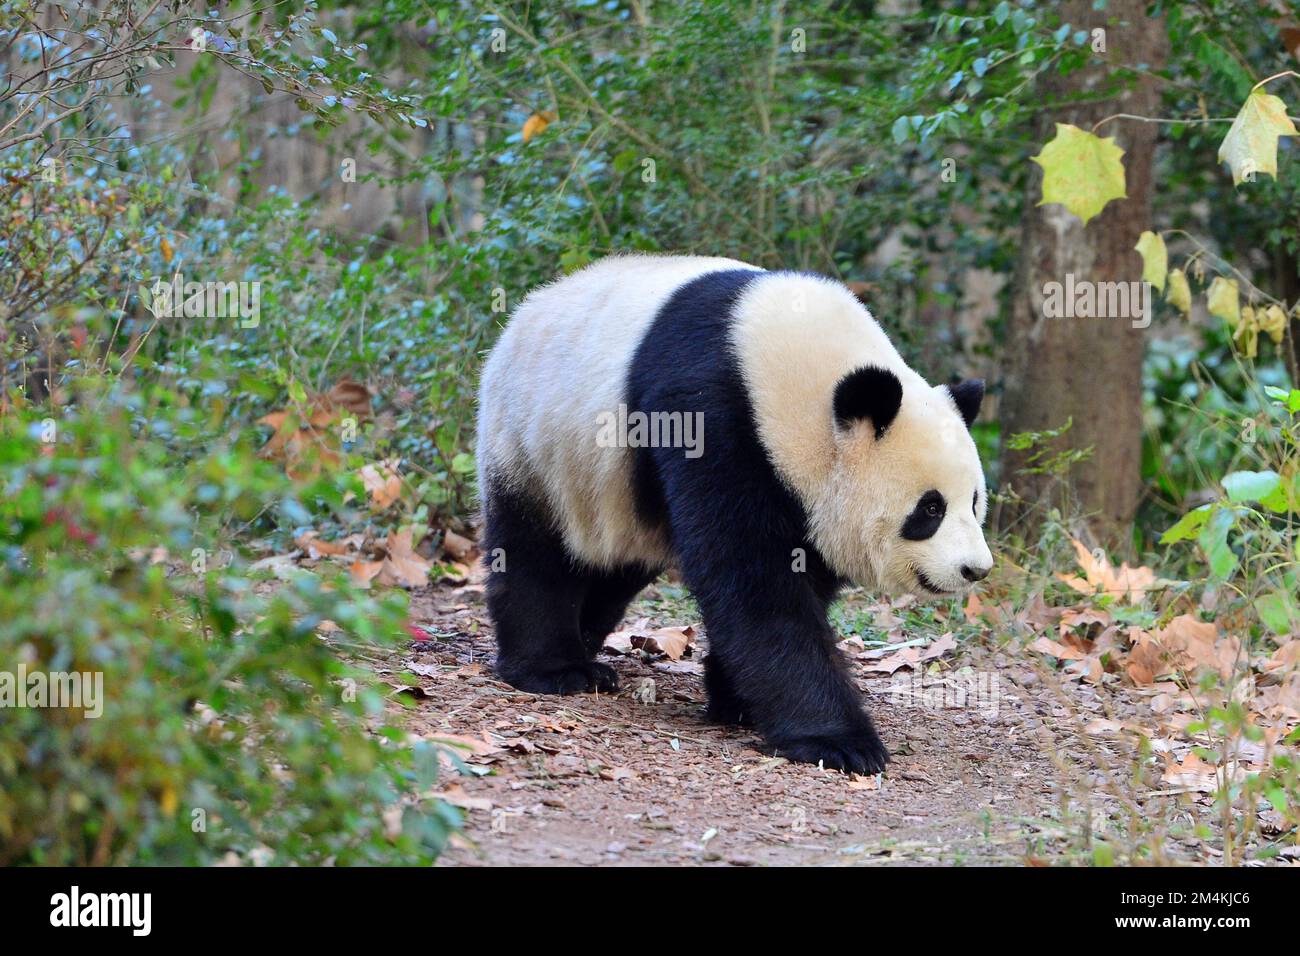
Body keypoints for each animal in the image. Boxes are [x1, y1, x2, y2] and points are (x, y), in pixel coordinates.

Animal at [476, 255, 992, 773]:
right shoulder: (711, 416)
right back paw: (558, 669)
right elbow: (754, 582)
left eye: (973, 501)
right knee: (534, 551)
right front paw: (839, 742)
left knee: (615, 568)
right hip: (535, 444)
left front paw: (738, 701)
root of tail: (523, 312)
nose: (975, 569)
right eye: (930, 508)